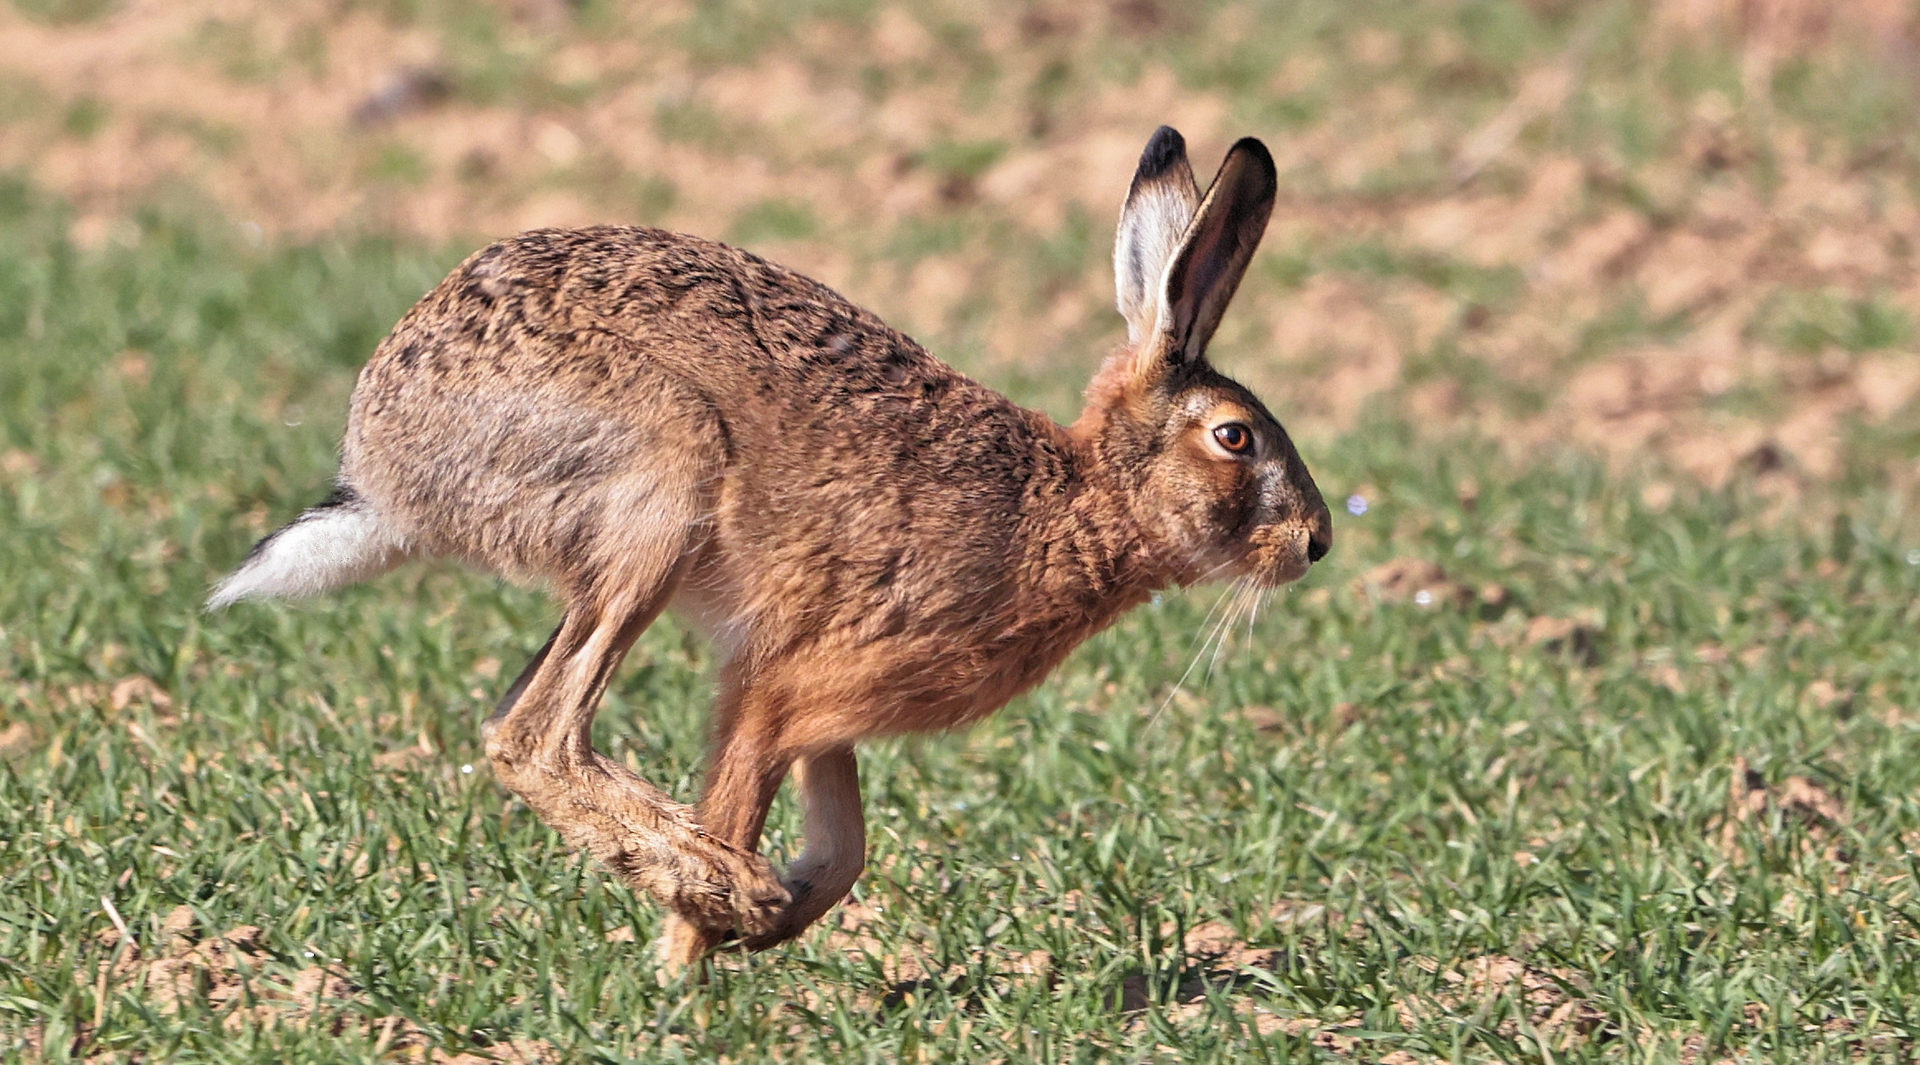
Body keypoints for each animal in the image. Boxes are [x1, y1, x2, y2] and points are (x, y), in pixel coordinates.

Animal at [210, 126, 1333, 972]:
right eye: (1235, 438)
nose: (1316, 543)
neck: (1082, 501)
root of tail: (383, 457)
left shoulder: (827, 708)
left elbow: (845, 853)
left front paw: (770, 917)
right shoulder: (777, 682)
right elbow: (748, 792)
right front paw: (688, 965)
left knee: (520, 715)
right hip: (661, 486)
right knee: (536, 737)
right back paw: (718, 882)